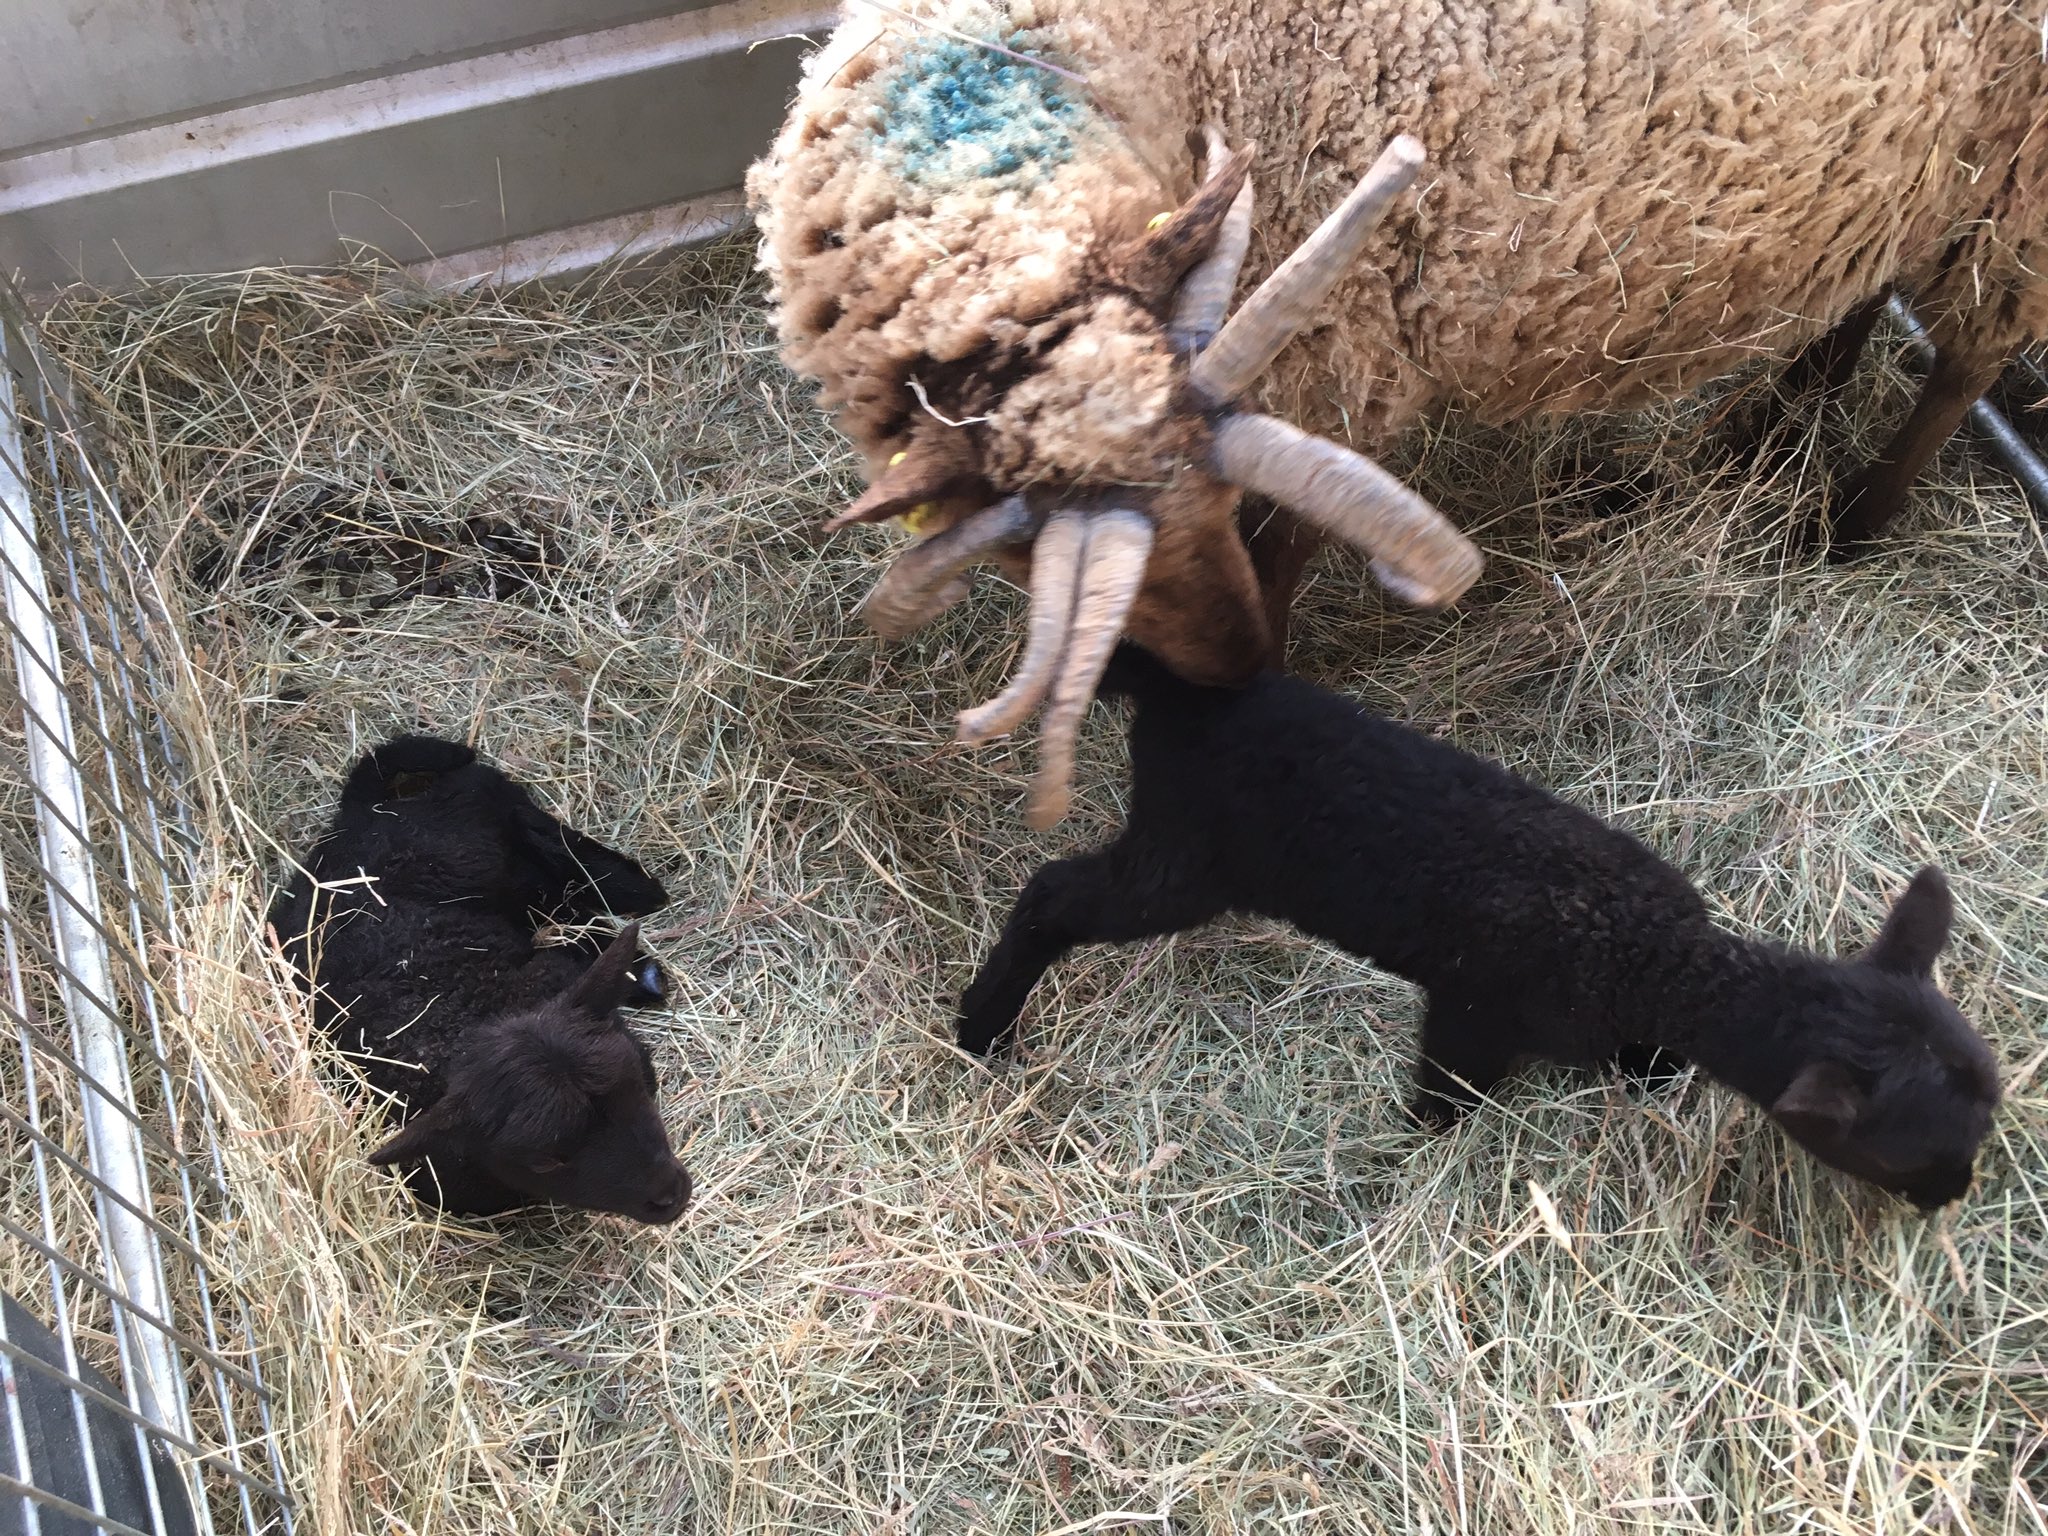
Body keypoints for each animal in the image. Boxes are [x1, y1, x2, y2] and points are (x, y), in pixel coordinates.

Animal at [267, 734, 693, 1224]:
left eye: (634, 1086)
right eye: (545, 1161)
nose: (672, 1194)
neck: (471, 1012)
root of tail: (360, 810)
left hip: (493, 824)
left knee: (554, 847)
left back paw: (633, 899)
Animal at [747, 0, 2048, 826]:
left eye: (1217, 503)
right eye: (1019, 560)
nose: (1231, 676)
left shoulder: (1338, 359)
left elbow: (1283, 551)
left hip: (2009, 181)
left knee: (1962, 363)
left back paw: (1855, 521)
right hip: (1894, 160)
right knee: (1863, 274)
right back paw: (1782, 410)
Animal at [955, 645, 2003, 1209]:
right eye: (1912, 1151)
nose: (1953, 1198)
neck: (1659, 960)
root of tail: (1177, 691)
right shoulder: (1474, 1011)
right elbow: (1444, 1100)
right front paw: (1418, 1145)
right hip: (1184, 855)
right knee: (1050, 896)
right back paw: (982, 1027)